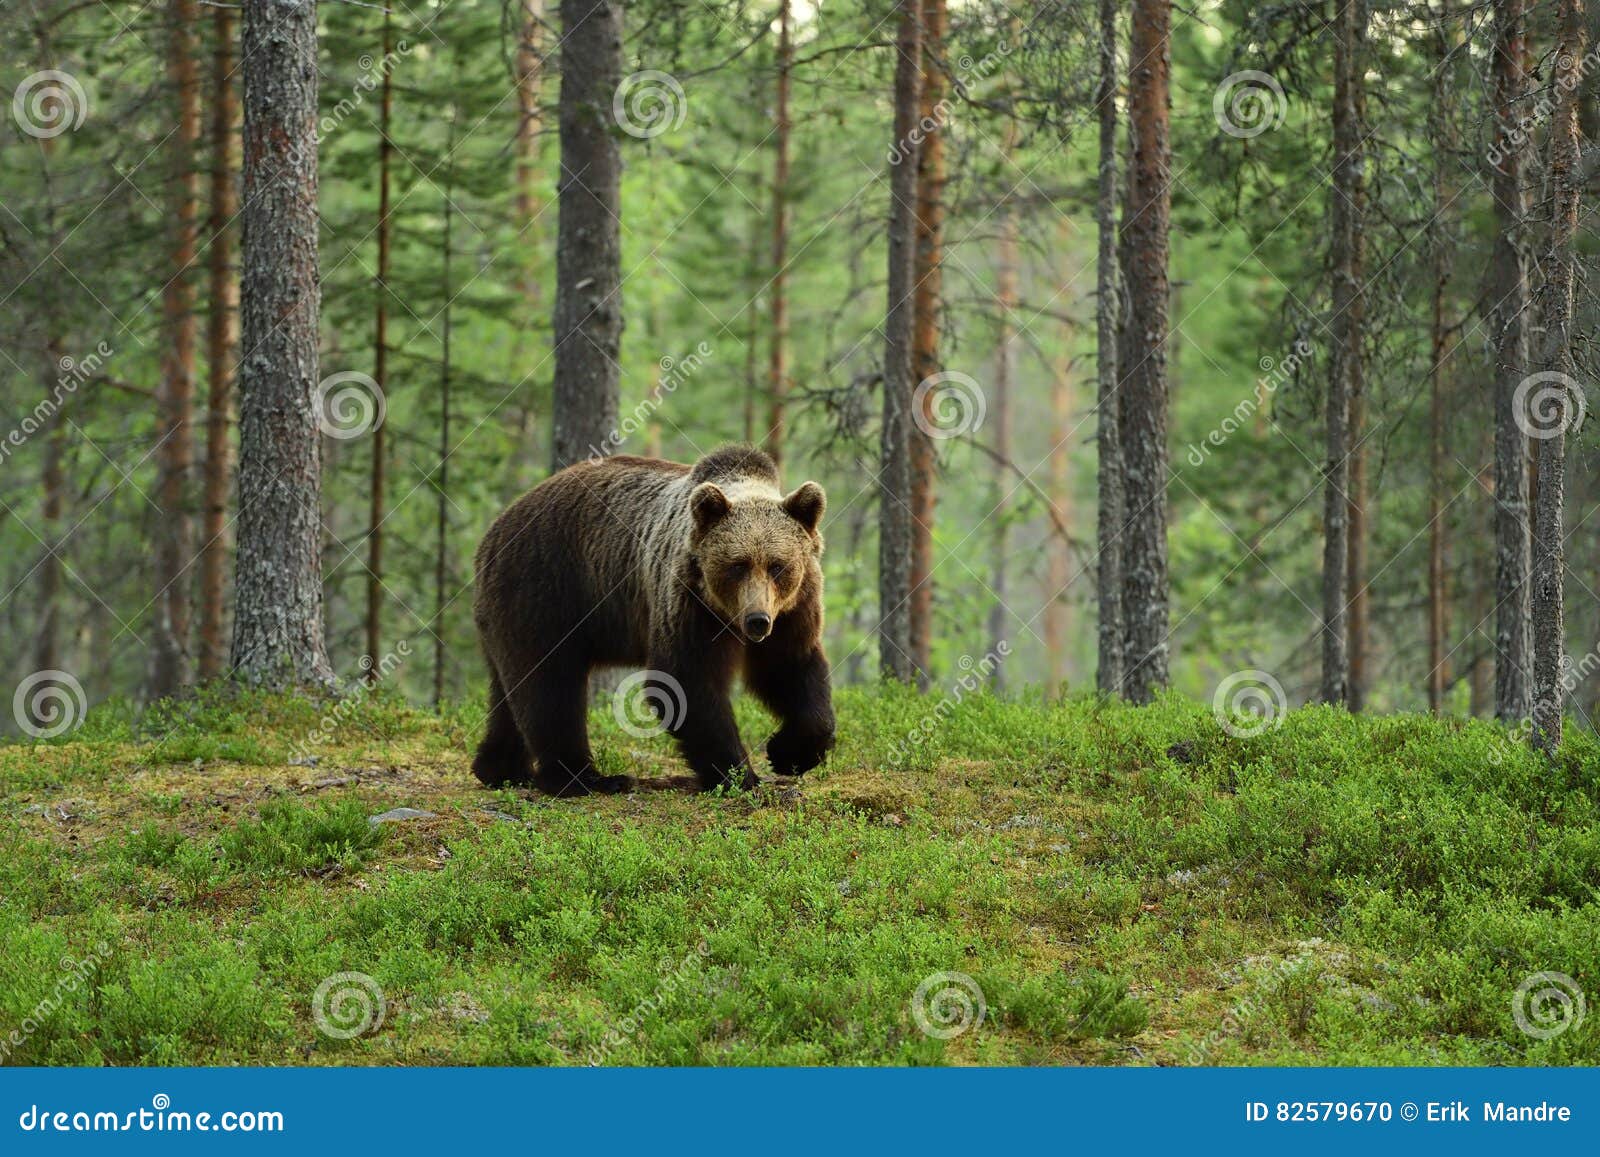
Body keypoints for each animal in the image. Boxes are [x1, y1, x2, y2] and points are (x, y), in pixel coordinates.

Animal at [470, 445, 836, 796]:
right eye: (737, 565)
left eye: (777, 566)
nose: (757, 620)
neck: (726, 615)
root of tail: (493, 531)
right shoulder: (688, 602)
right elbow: (685, 679)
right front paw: (739, 776)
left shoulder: (793, 610)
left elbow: (790, 668)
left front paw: (789, 753)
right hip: (545, 590)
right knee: (550, 687)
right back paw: (584, 779)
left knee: (509, 688)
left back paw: (500, 770)